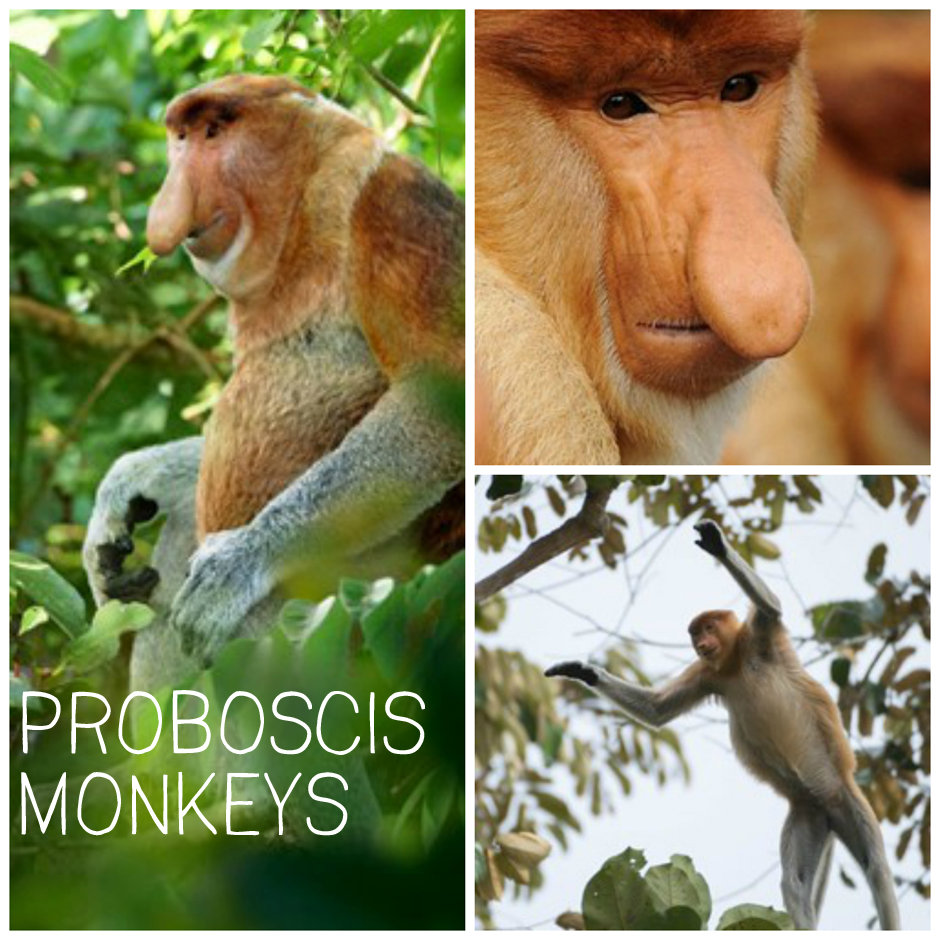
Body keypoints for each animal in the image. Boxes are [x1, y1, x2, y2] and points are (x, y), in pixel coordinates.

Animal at [82, 74, 464, 691]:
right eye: (181, 137)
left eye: (216, 131)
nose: (167, 210)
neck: (300, 209)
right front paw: (127, 488)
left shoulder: (389, 200)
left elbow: (440, 397)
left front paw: (235, 569)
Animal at [546, 520, 901, 930]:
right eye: (695, 633)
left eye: (709, 627)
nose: (701, 642)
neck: (736, 662)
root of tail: (826, 801)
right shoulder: (708, 675)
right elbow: (657, 710)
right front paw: (582, 672)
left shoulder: (759, 636)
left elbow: (771, 607)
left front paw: (716, 543)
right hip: (807, 813)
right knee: (794, 884)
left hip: (845, 798)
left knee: (877, 868)